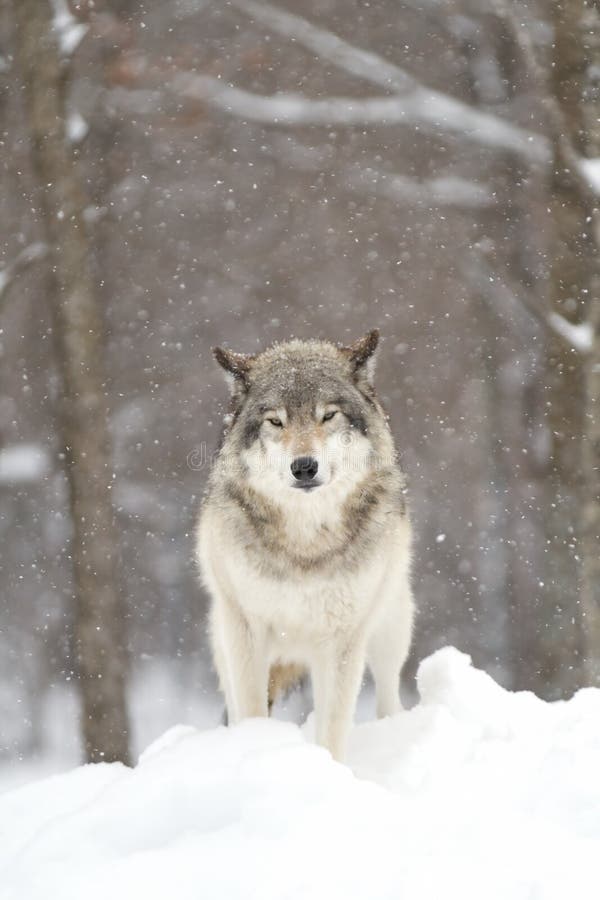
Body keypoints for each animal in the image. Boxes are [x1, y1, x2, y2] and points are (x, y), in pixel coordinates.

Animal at [195, 330, 414, 761]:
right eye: (275, 421)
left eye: (328, 416)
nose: (304, 467)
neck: (304, 540)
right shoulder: (245, 628)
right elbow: (250, 709)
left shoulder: (343, 638)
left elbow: (332, 727)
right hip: (222, 635)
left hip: (389, 625)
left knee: (388, 692)